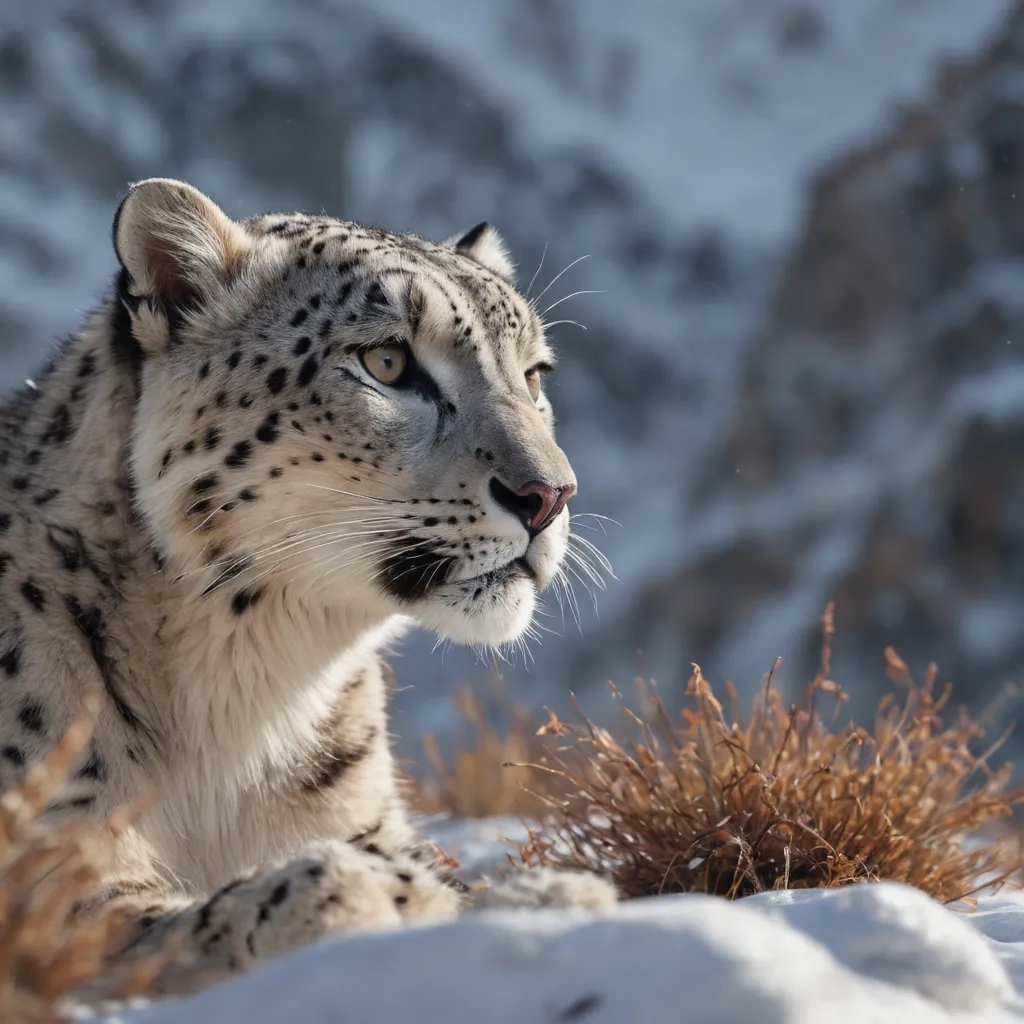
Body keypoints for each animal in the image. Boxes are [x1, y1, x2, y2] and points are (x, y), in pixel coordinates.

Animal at [0, 178, 615, 997]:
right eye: (386, 361)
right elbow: (147, 921)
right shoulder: (53, 850)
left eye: (535, 375)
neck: (249, 693)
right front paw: (381, 894)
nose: (550, 495)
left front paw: (544, 894)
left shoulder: (368, 820)